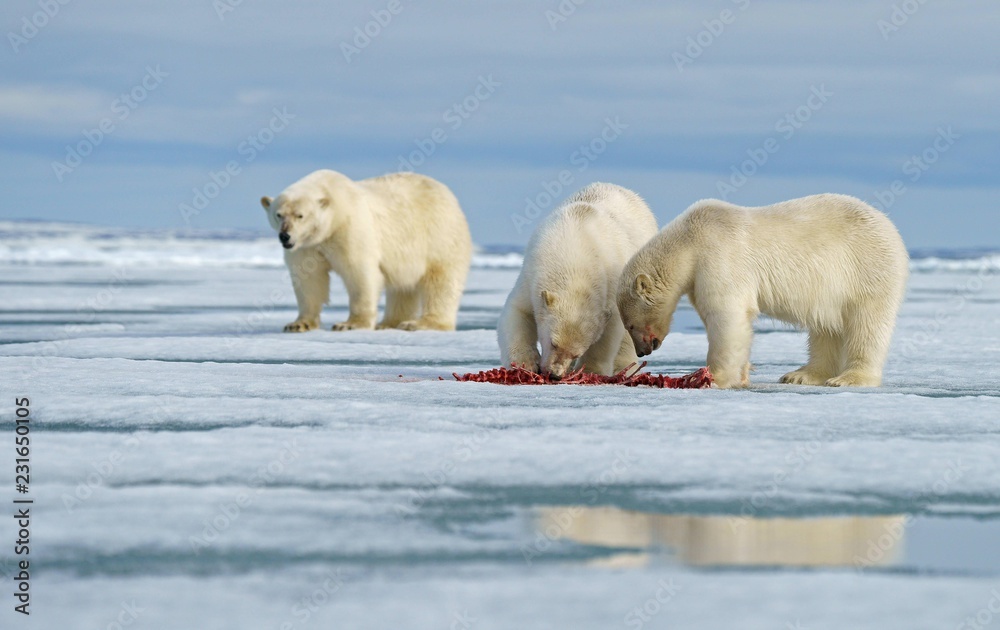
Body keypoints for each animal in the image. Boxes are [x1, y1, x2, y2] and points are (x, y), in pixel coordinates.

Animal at [260, 170, 472, 332]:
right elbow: (309, 280)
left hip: (439, 237)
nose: (285, 236)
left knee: (441, 282)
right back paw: (388, 323)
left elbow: (359, 274)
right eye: (278, 214)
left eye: (300, 215)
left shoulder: (350, 230)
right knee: (403, 287)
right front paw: (298, 324)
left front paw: (349, 324)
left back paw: (420, 323)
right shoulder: (306, 247)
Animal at [497, 183, 659, 378]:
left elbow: (610, 331)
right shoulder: (531, 274)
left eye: (576, 353)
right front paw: (525, 363)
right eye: (553, 343)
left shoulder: (612, 285)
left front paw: (591, 371)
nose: (555, 374)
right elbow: (519, 311)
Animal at [617, 193, 909, 389]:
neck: (690, 240)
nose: (642, 352)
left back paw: (848, 378)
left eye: (629, 324)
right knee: (826, 327)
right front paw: (744, 374)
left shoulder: (718, 255)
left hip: (865, 269)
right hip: (831, 288)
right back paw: (801, 375)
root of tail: (889, 227)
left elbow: (727, 315)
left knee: (867, 324)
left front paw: (715, 377)